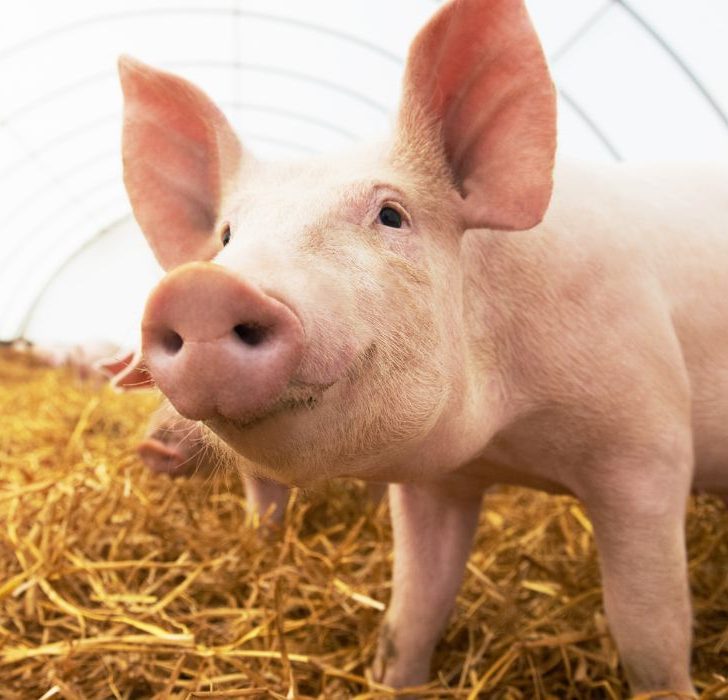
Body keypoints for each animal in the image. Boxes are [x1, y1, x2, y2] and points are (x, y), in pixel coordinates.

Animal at [117, 0, 728, 694]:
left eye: (391, 214)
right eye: (225, 236)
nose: (200, 288)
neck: (511, 440)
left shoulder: (649, 447)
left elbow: (646, 631)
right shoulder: (433, 483)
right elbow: (413, 608)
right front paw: (394, 675)